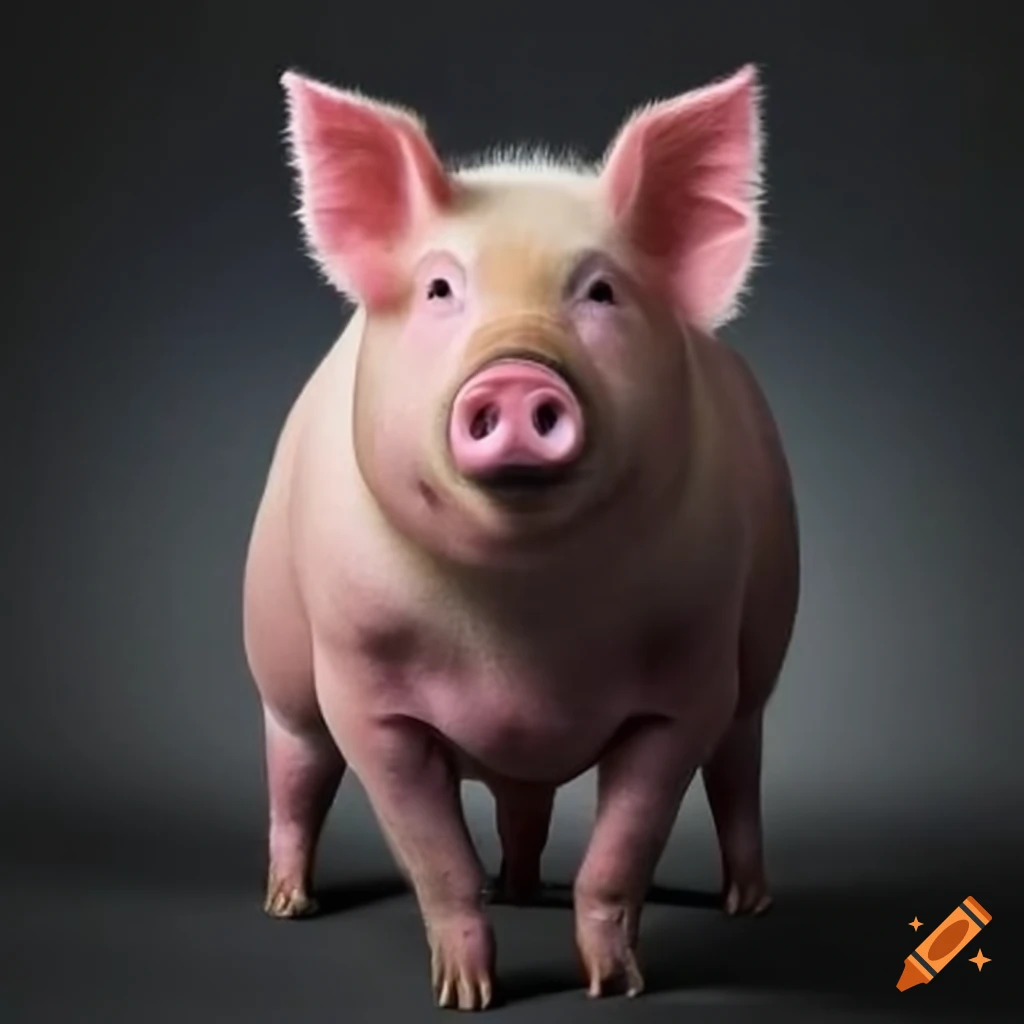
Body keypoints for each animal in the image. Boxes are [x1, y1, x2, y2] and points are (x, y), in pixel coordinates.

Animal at [242, 63, 799, 1010]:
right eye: (439, 289)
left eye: (601, 291)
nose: (513, 376)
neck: (523, 629)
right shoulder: (364, 692)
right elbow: (435, 858)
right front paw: (466, 997)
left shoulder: (688, 684)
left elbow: (622, 850)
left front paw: (615, 987)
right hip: (280, 663)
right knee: (299, 768)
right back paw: (291, 905)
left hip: (753, 673)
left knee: (735, 771)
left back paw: (742, 904)